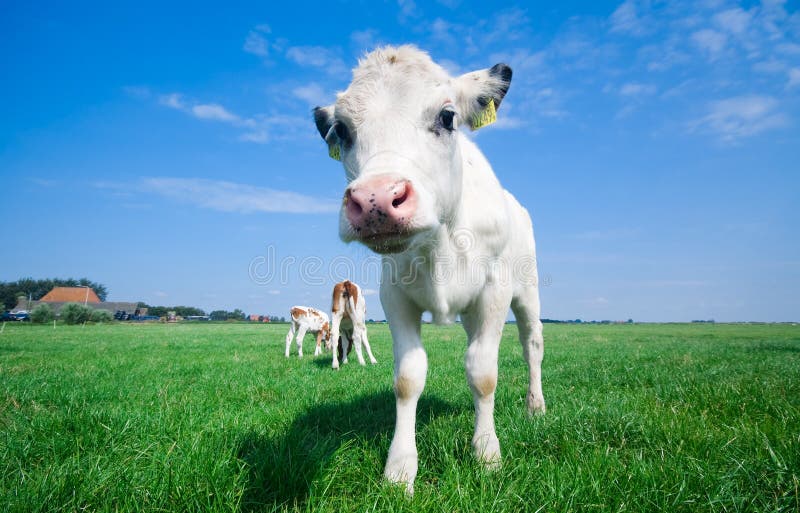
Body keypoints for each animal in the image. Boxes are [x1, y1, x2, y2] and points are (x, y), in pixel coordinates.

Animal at [313, 45, 545, 493]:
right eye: (342, 131)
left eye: (447, 116)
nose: (376, 199)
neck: (441, 245)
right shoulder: (395, 296)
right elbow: (408, 378)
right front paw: (400, 468)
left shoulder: (493, 291)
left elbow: (484, 373)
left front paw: (487, 453)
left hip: (527, 291)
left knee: (532, 345)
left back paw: (536, 406)